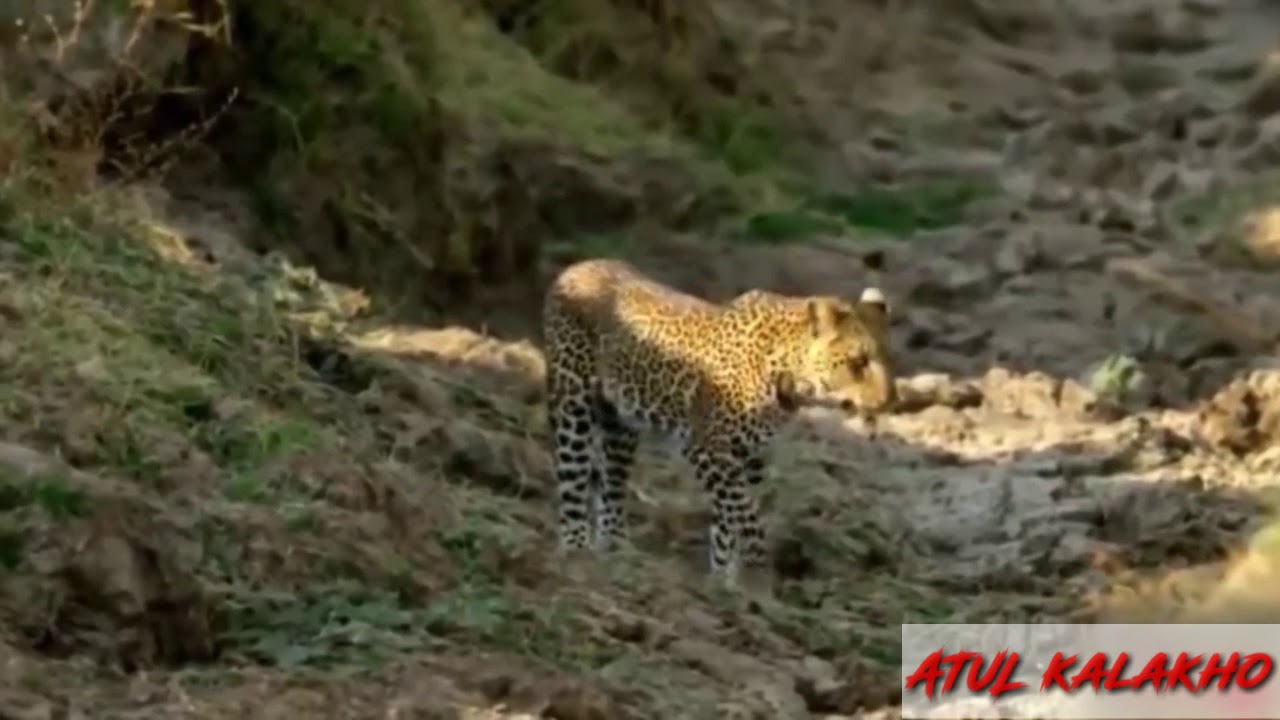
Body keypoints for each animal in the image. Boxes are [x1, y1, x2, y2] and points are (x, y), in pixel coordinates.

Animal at [541, 258, 898, 581]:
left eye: (887, 359)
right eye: (858, 362)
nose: (888, 401)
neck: (789, 379)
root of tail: (575, 267)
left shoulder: (750, 456)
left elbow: (730, 518)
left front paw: (725, 579)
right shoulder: (707, 447)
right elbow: (743, 508)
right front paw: (750, 571)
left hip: (621, 423)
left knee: (612, 485)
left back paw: (617, 552)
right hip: (574, 405)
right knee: (572, 477)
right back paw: (576, 551)